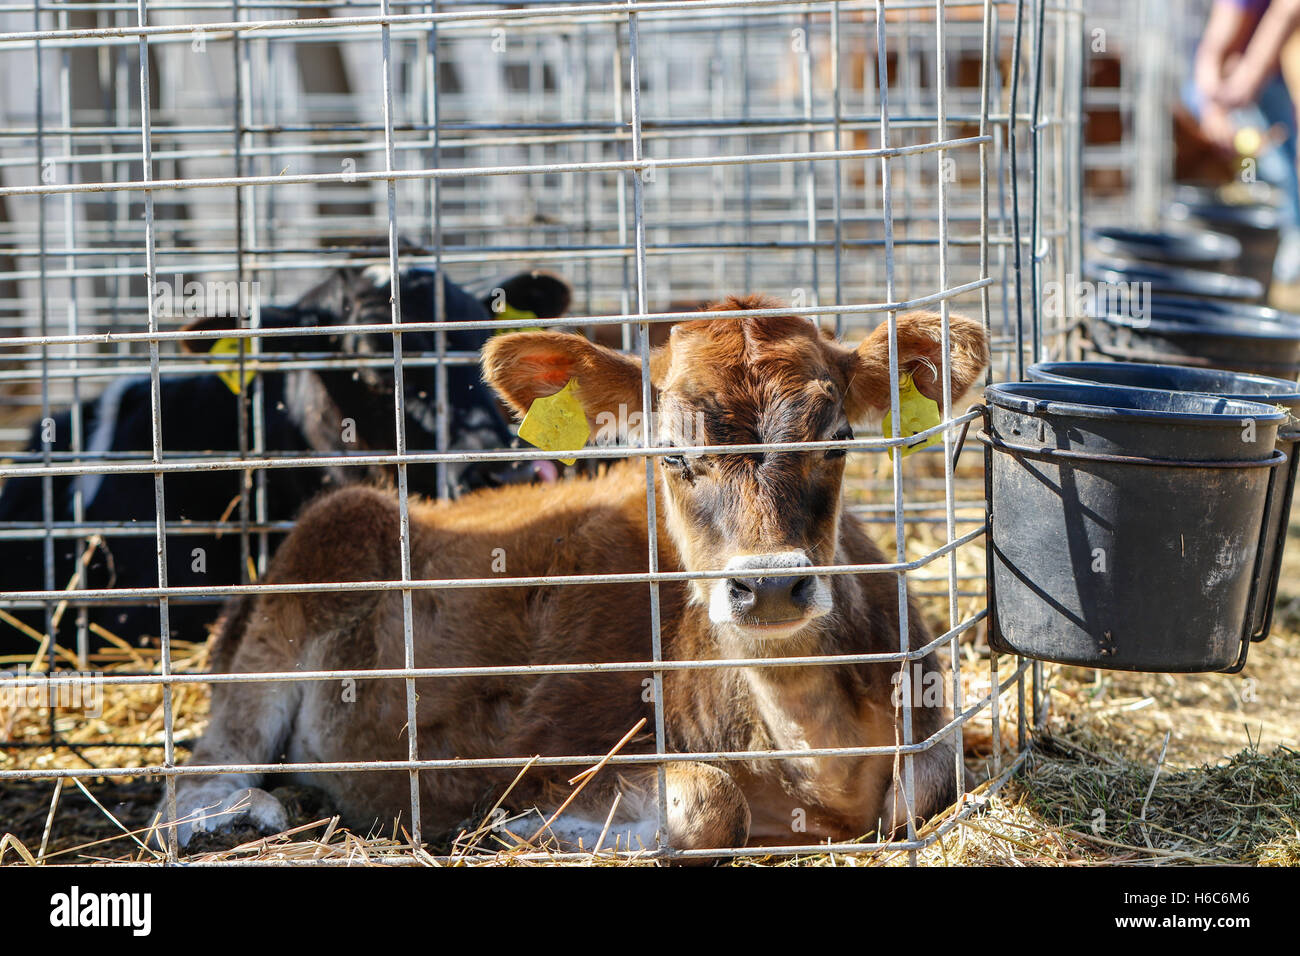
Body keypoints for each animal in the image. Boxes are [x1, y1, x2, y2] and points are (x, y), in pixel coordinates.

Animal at [159, 298, 989, 854]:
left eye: (837, 438)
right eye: (670, 453)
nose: (772, 586)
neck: (822, 766)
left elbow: (927, 781)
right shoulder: (578, 757)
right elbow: (713, 800)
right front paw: (525, 829)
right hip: (323, 552)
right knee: (191, 781)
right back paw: (241, 817)